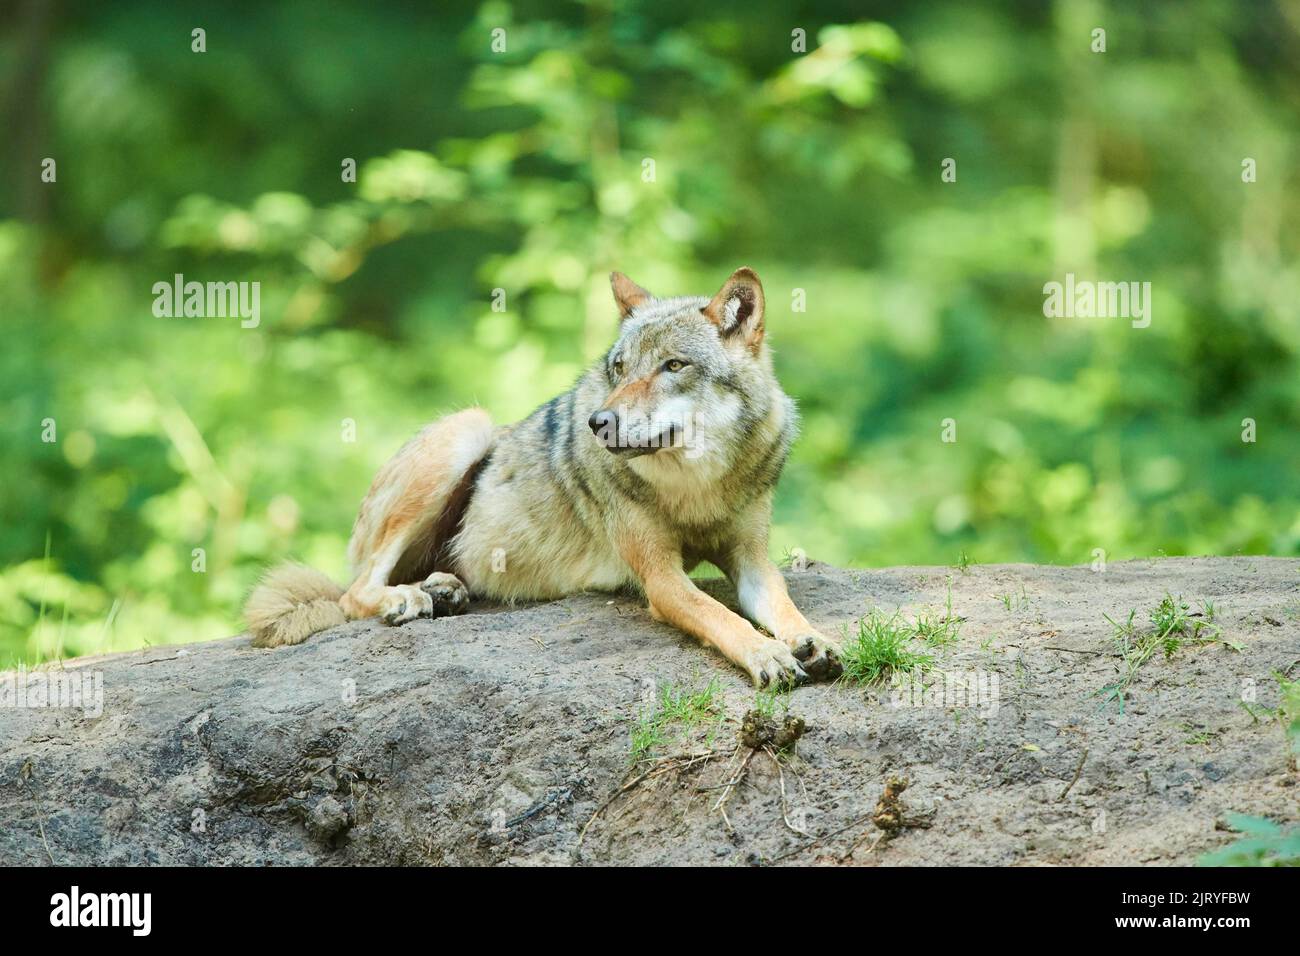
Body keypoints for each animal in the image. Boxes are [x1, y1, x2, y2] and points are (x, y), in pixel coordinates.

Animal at [244, 267, 842, 686]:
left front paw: (812, 640)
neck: (697, 485)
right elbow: (722, 617)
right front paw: (767, 653)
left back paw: (442, 589)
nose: (597, 422)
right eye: (619, 369)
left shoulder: (753, 561)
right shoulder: (662, 580)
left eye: (673, 366)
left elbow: (784, 603)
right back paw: (405, 599)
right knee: (355, 592)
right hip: (468, 429)